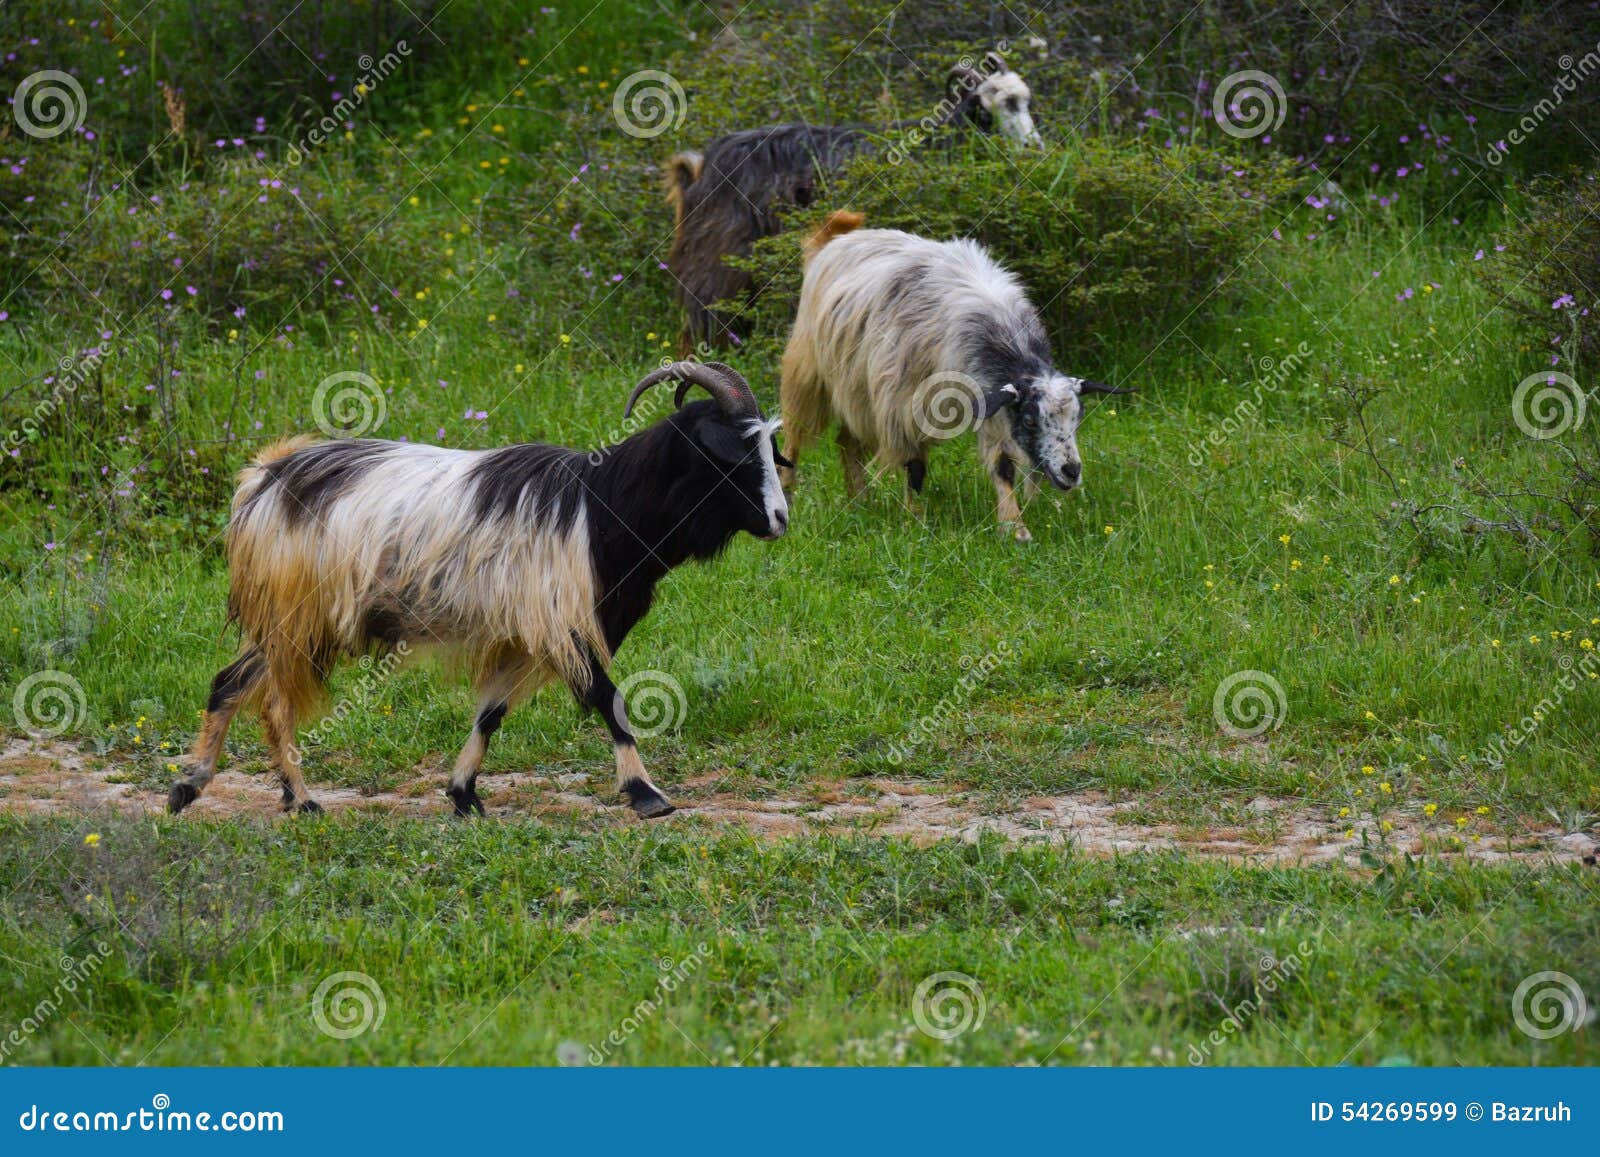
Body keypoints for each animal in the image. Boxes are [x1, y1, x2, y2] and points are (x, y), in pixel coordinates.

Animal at [167, 362, 788, 820]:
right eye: (734, 456)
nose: (781, 519)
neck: (601, 508)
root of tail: (262, 480)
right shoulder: (559, 621)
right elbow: (608, 699)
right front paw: (646, 794)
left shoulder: (523, 632)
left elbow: (491, 711)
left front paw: (463, 793)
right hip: (300, 617)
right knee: (274, 702)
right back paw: (301, 799)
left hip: (284, 620)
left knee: (230, 682)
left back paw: (190, 787)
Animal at [779, 212, 1130, 542]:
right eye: (1030, 420)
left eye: (1078, 418)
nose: (1071, 471)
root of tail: (831, 242)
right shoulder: (903, 405)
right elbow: (915, 467)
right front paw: (914, 520)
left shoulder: (992, 402)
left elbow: (1003, 466)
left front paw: (1013, 527)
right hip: (808, 372)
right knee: (794, 438)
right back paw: (787, 495)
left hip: (857, 390)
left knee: (847, 442)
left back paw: (861, 501)